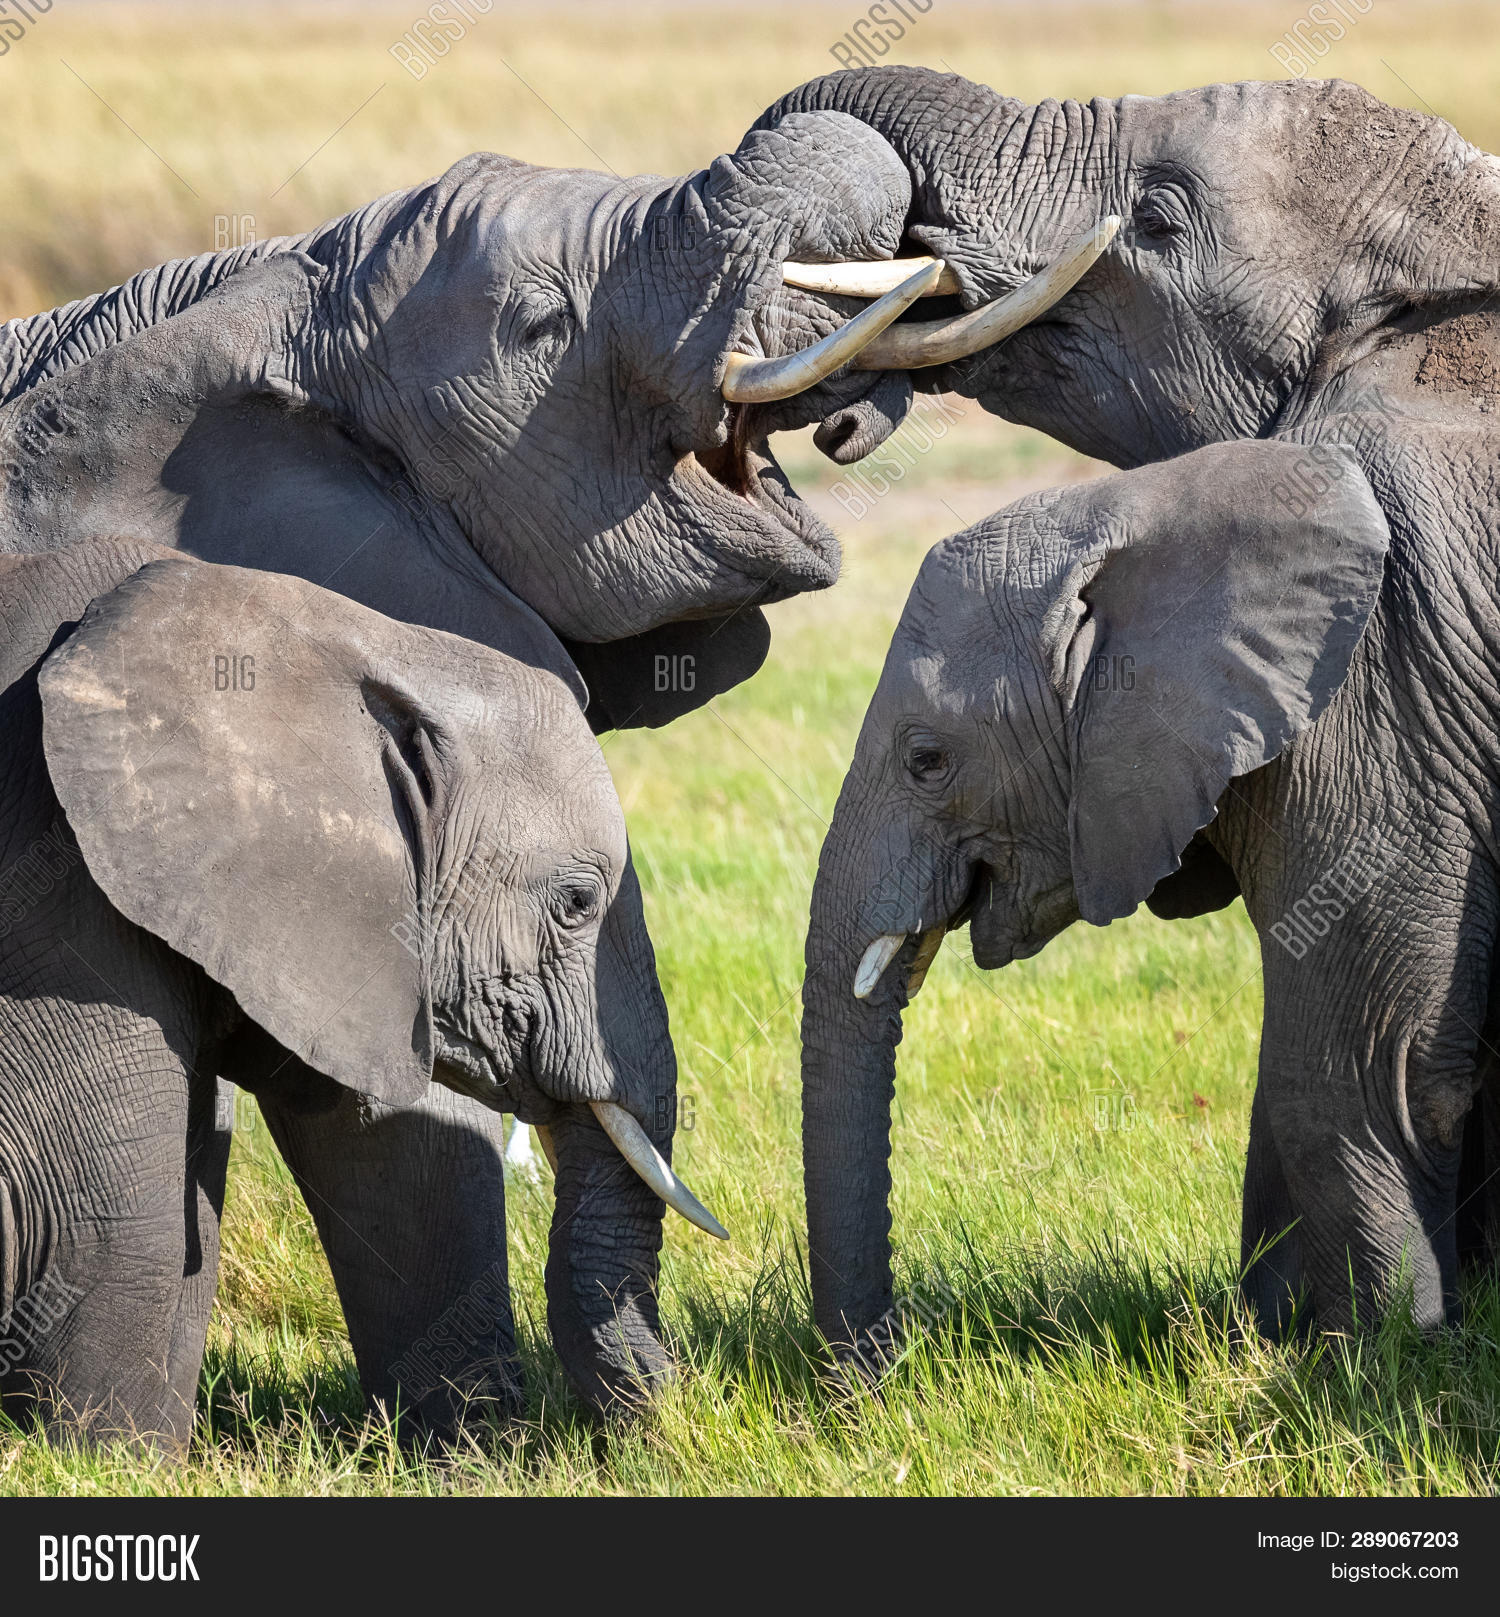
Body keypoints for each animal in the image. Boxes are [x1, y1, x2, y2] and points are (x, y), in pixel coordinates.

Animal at [0, 540, 723, 1443]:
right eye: (576, 902)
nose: (684, 1413)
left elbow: (356, 1157)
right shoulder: (54, 879)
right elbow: (113, 1225)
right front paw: (111, 1464)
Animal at [798, 432, 1500, 1350]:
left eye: (927, 759)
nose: (887, 1362)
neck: (1144, 505)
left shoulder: (1386, 716)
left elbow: (1365, 1072)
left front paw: (1379, 1356)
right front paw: (1270, 1340)